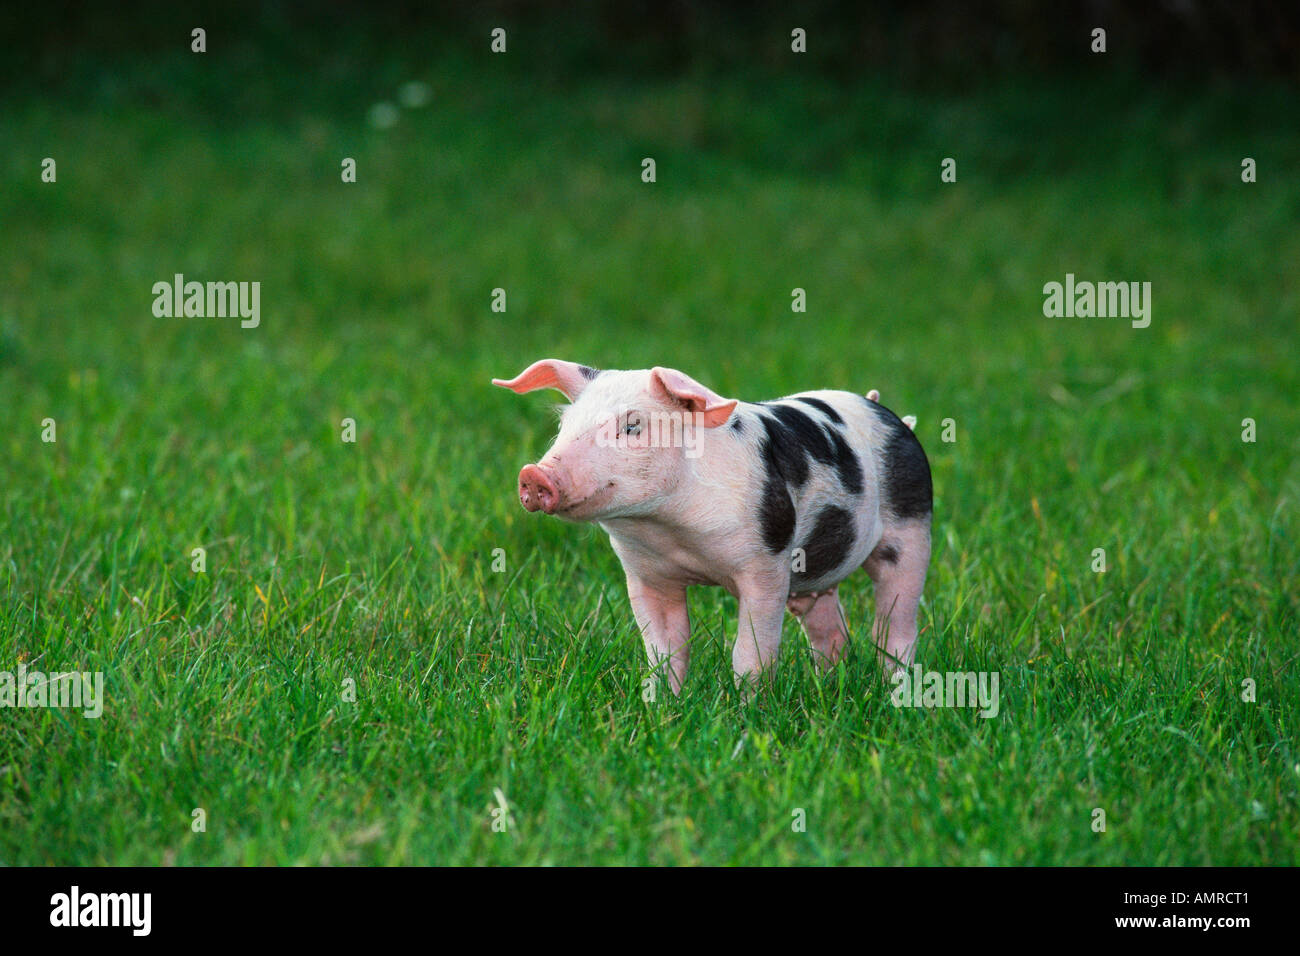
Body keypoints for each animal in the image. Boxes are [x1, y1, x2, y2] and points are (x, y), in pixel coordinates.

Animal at [492, 359, 933, 694]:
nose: (534, 475)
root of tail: (885, 410)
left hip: (912, 528)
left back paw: (896, 690)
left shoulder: (766, 564)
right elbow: (664, 650)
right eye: (564, 425)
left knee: (897, 626)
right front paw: (659, 710)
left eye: (633, 425)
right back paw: (828, 687)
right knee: (832, 632)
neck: (670, 530)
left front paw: (747, 711)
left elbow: (751, 652)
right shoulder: (645, 575)